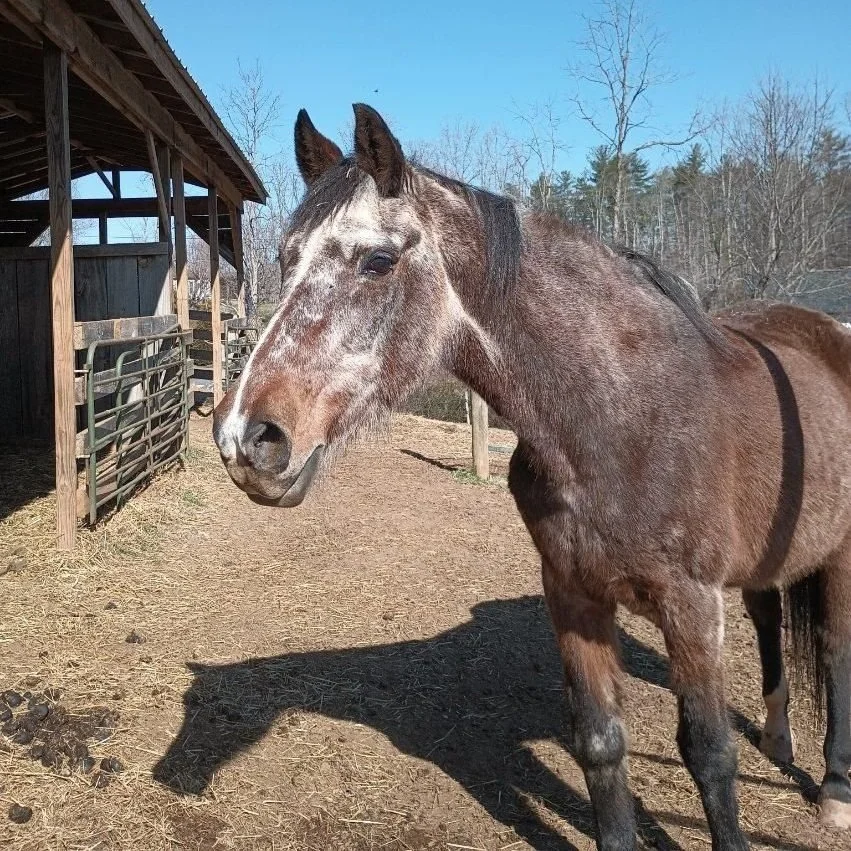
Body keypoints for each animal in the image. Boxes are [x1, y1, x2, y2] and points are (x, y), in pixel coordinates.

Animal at [212, 104, 851, 850]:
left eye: (378, 260)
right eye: (285, 261)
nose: (245, 437)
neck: (619, 418)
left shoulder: (690, 607)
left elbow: (709, 754)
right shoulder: (572, 594)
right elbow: (601, 745)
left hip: (839, 556)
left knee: (836, 652)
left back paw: (835, 792)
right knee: (770, 620)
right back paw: (777, 740)